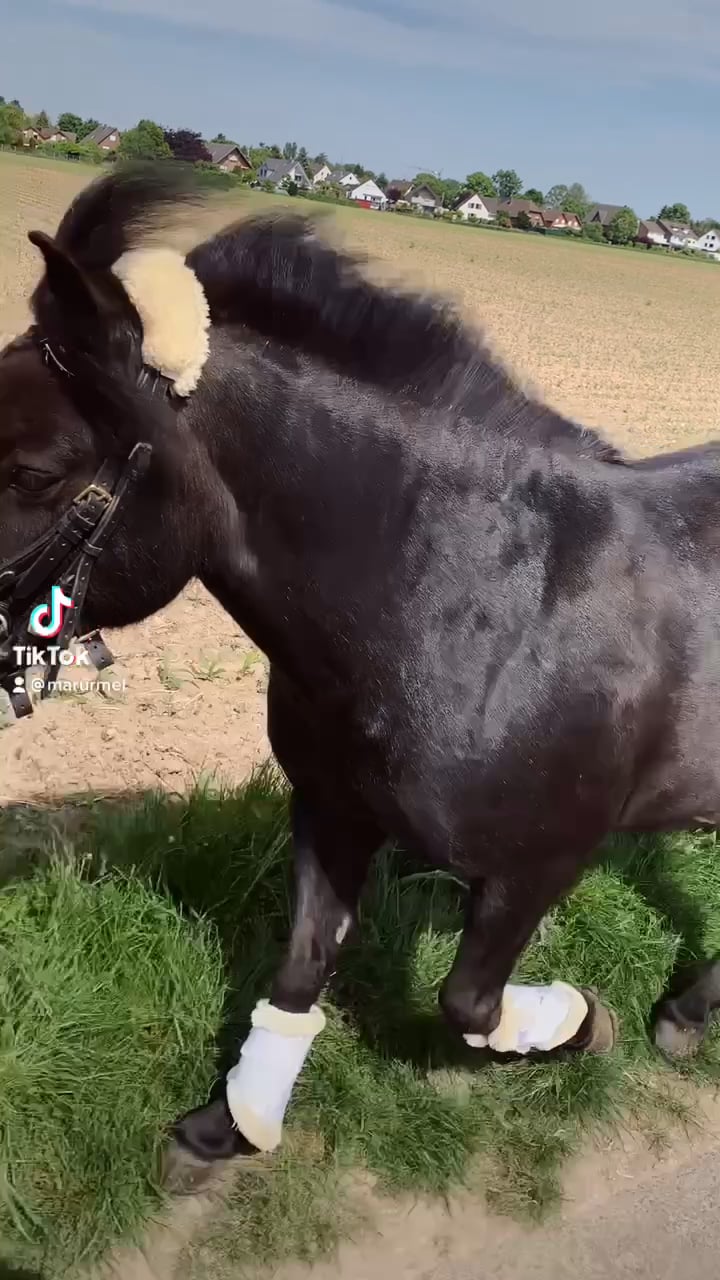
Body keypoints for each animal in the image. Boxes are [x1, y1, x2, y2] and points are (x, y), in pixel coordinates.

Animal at [1, 164, 719, 1184]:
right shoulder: (333, 809)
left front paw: (583, 1023)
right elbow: (303, 967)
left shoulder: (543, 862)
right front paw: (228, 1127)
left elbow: (469, 1006)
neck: (479, 600)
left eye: (34, 471)